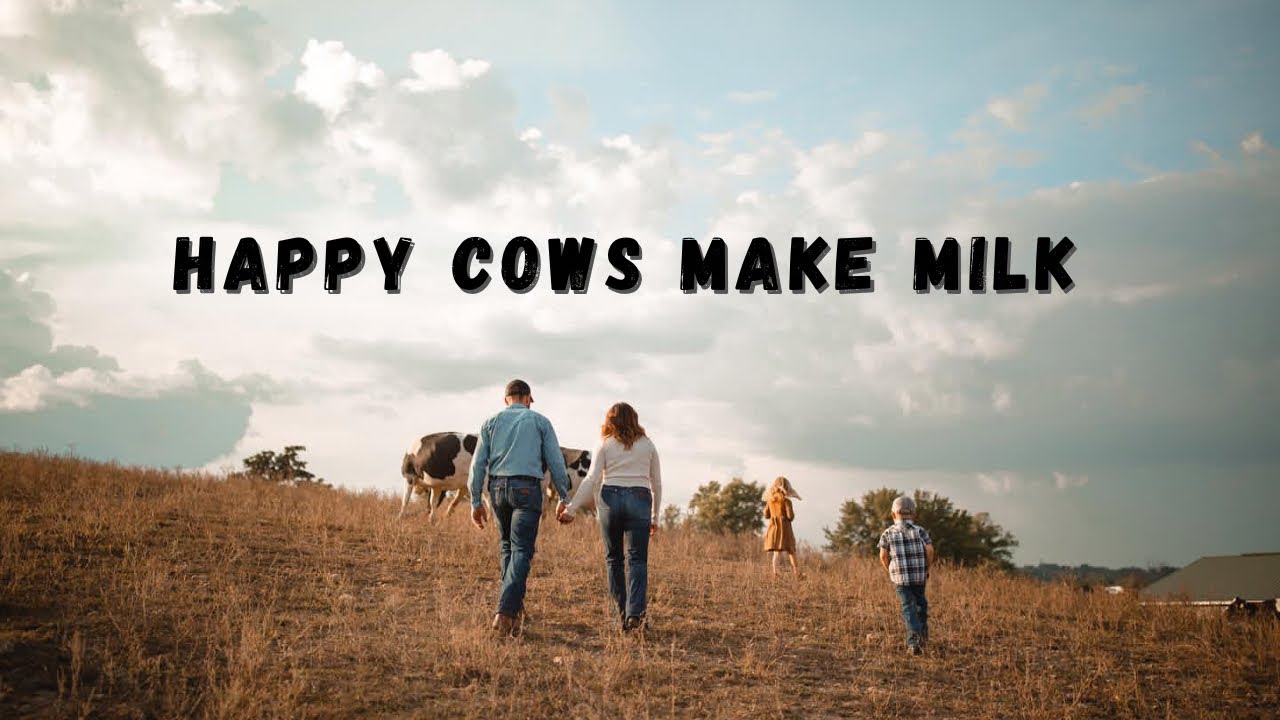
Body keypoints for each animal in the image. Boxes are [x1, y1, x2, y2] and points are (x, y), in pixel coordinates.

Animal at [399, 431, 592, 520]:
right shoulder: (439, 486)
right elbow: (435, 503)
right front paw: (433, 519)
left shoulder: (410, 478)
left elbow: (405, 500)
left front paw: (401, 517)